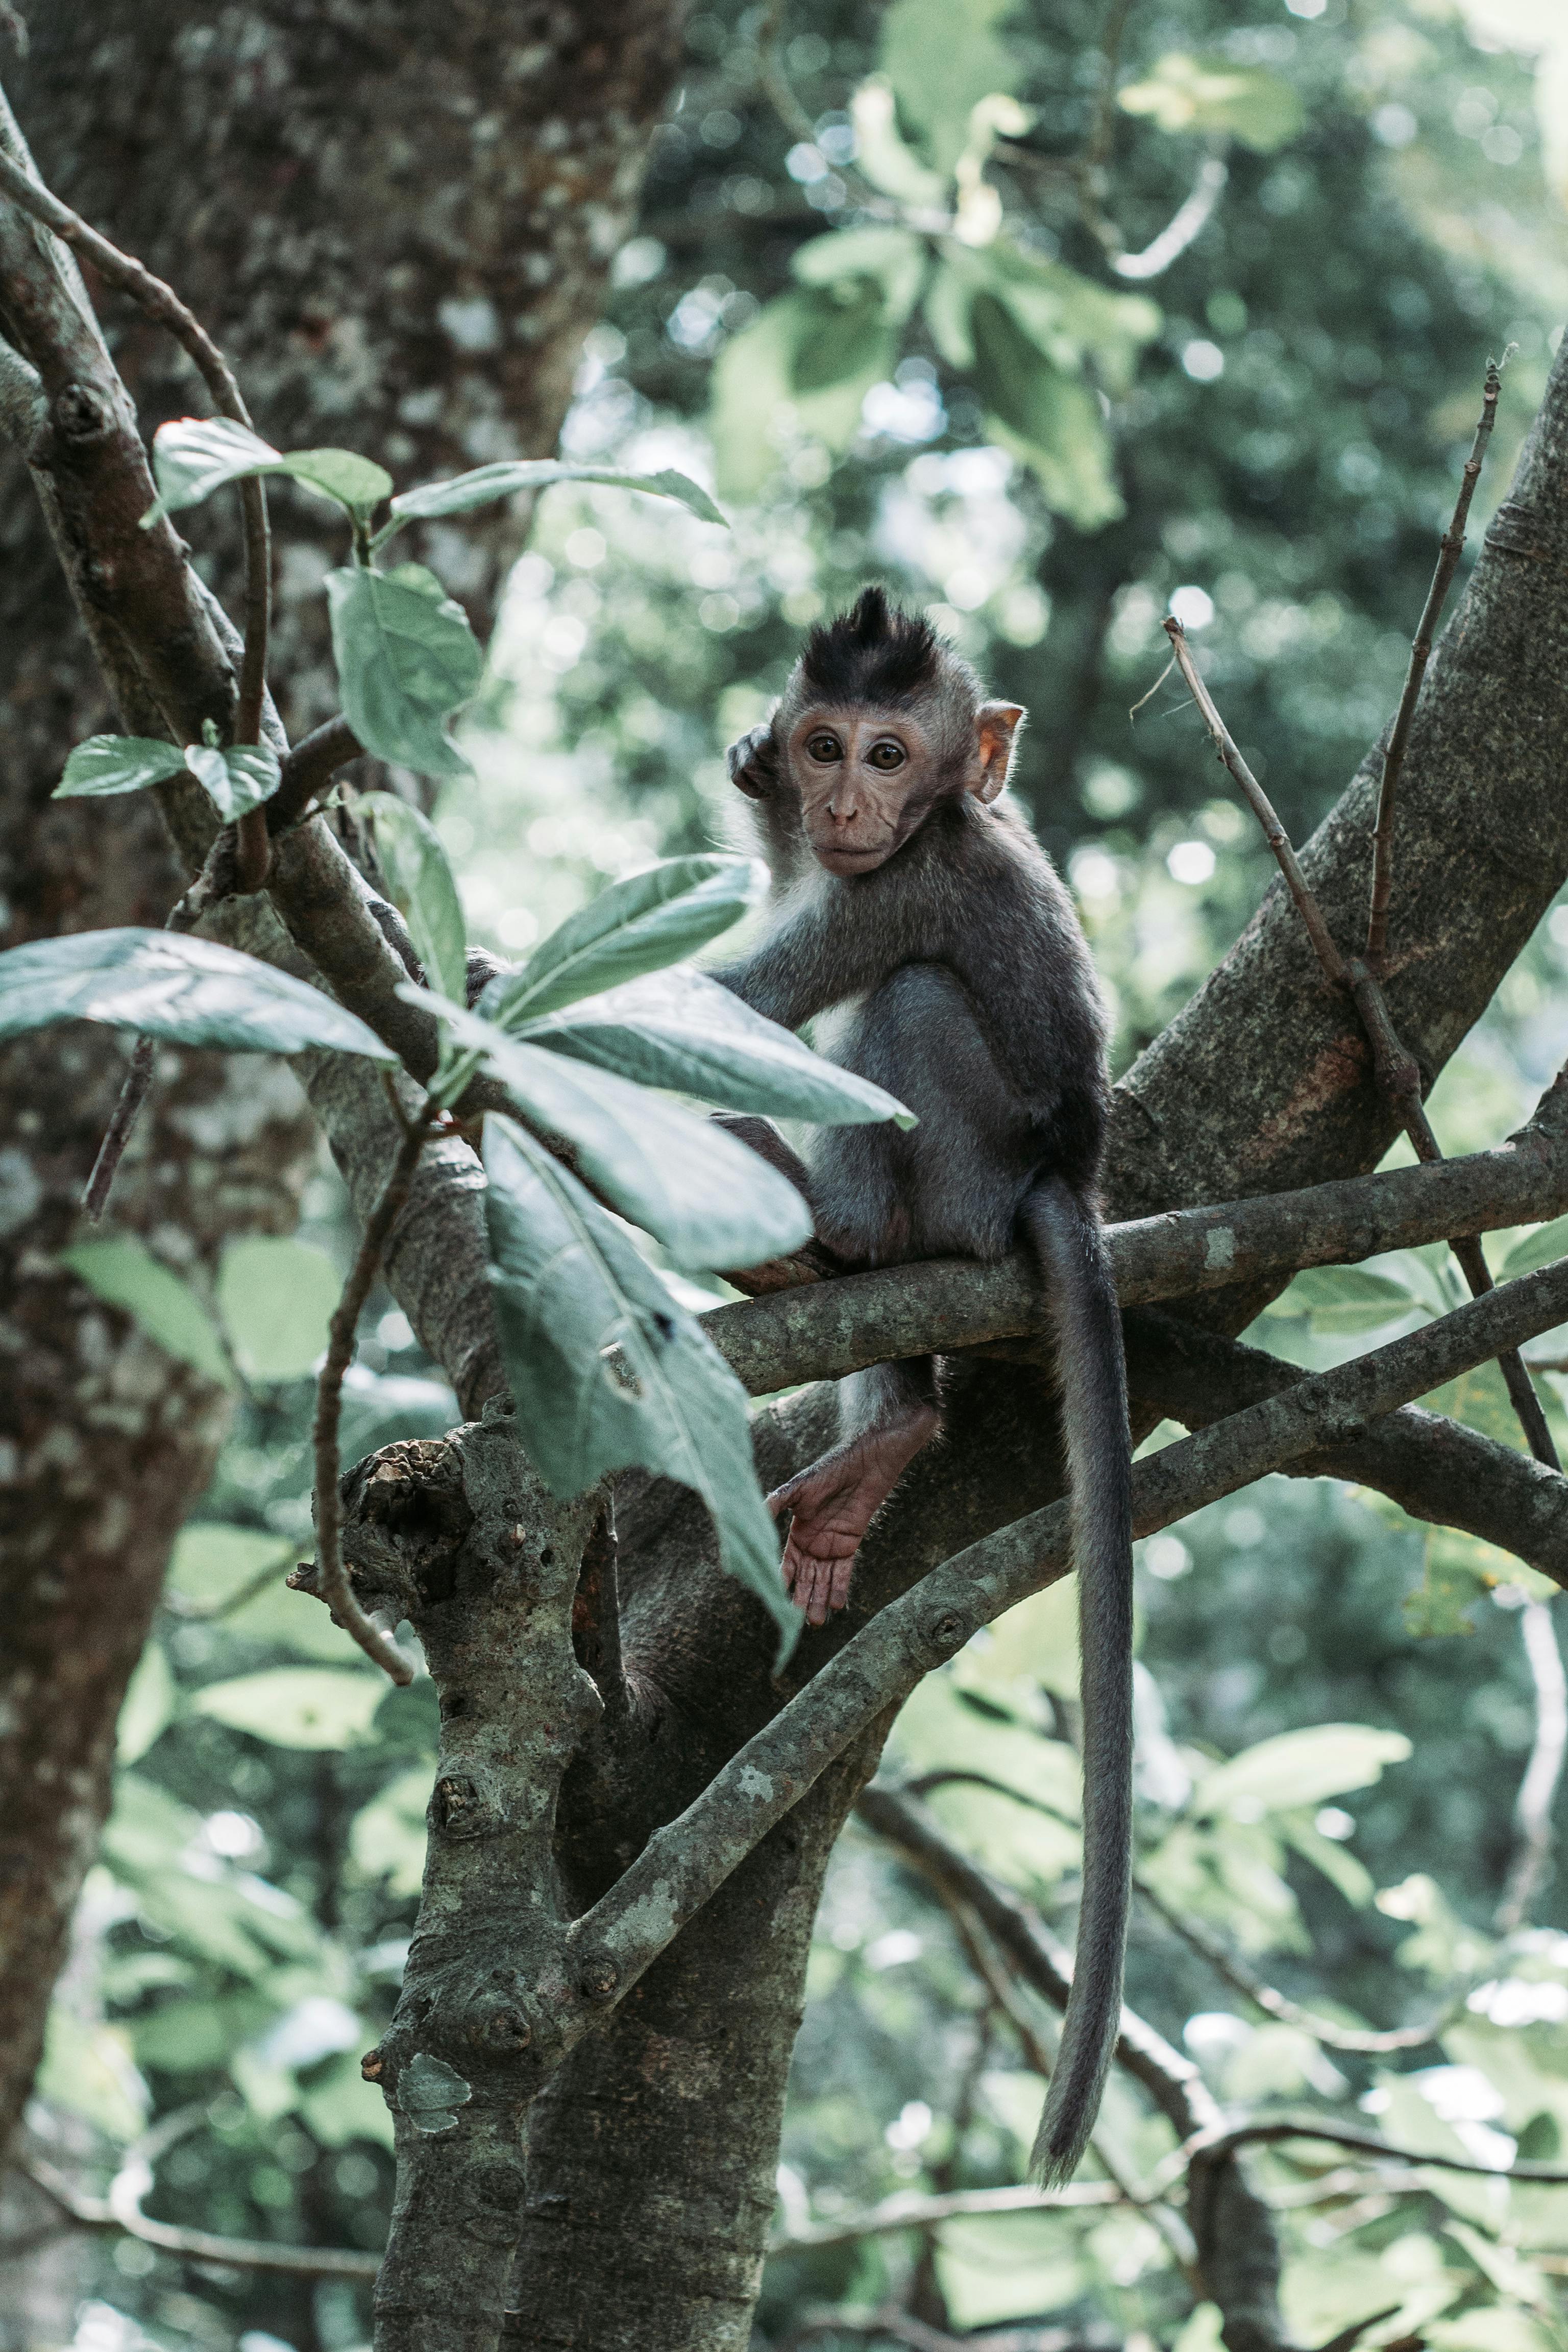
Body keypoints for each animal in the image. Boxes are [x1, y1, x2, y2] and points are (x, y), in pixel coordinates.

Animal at [709, 586, 1132, 2186]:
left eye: (890, 753)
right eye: (828, 741)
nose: (835, 801)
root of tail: (1058, 1176)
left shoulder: (900, 886)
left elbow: (738, 1000)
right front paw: (754, 786)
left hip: (957, 1153)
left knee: (898, 1009)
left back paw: (822, 1232)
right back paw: (881, 1437)